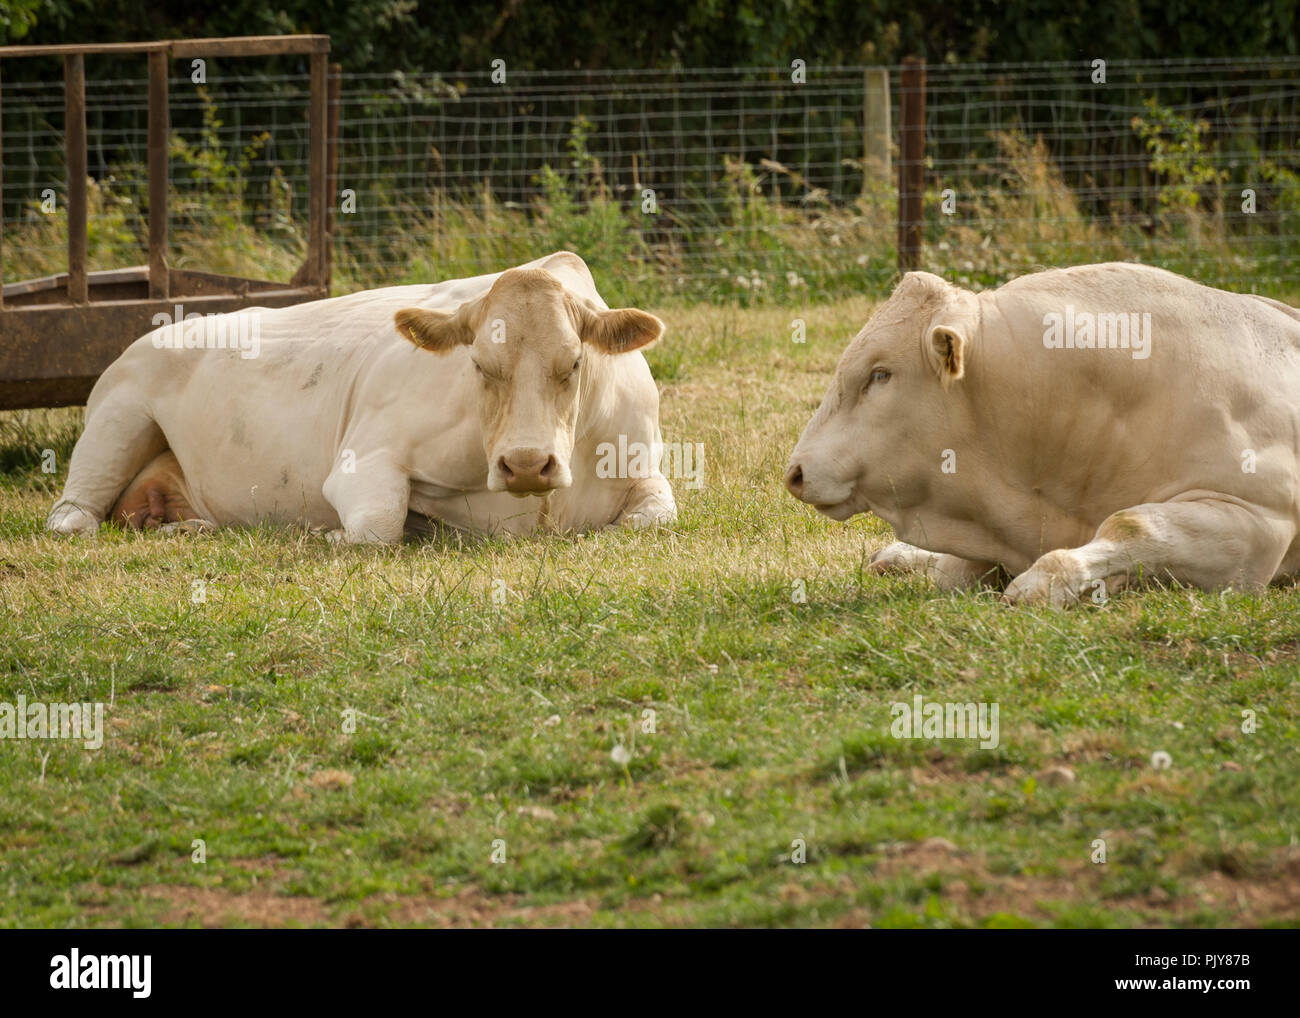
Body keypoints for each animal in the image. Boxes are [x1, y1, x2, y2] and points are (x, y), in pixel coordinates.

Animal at [47, 251, 677, 543]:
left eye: (574, 363)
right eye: (477, 364)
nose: (525, 463)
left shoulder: (644, 464)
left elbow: (655, 516)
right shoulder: (364, 458)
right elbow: (378, 523)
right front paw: (329, 533)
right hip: (118, 416)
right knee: (72, 514)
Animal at [784, 263, 1300, 606]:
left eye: (880, 374)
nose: (796, 472)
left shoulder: (1259, 523)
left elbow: (1131, 524)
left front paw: (1045, 581)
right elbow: (953, 571)